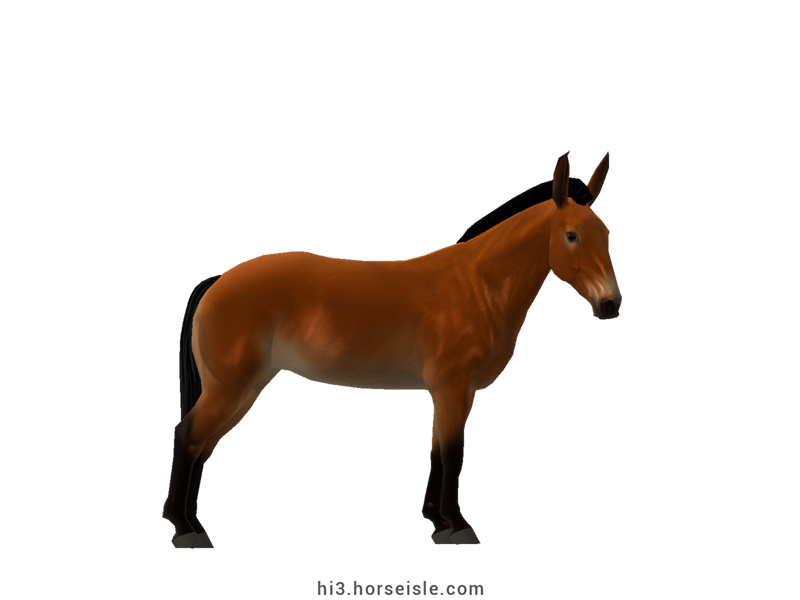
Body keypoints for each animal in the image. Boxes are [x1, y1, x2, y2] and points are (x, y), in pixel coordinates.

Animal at [163, 155, 619, 546]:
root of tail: (217, 283)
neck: (478, 285)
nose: (609, 303)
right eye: (572, 235)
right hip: (227, 388)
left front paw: (437, 521)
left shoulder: (444, 390)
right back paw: (184, 529)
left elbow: (438, 452)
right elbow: (453, 453)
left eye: (604, 232)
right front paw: (460, 525)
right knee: (188, 436)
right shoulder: (452, 386)